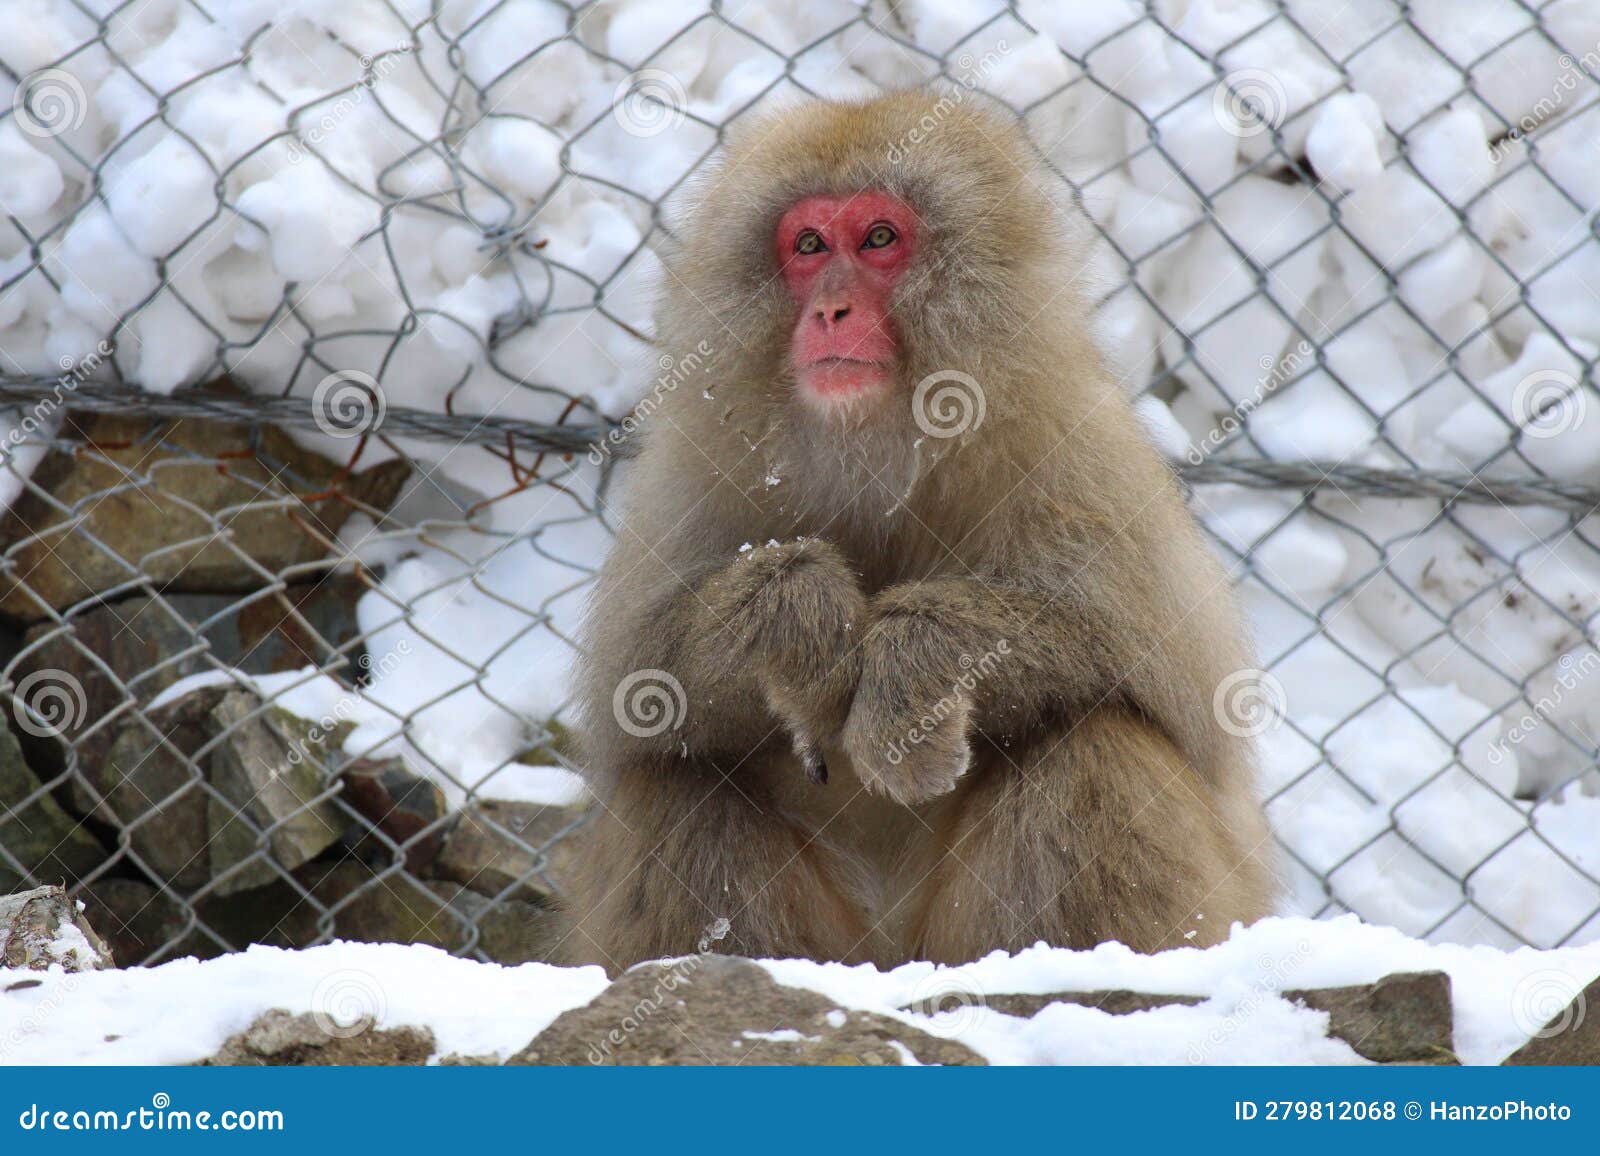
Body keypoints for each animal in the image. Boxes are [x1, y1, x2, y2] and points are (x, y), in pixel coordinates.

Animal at [566, 90, 1277, 972]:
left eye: (879, 238)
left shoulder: (1079, 446)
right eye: (809, 245)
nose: (830, 310)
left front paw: (915, 658)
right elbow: (632, 690)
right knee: (675, 775)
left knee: (1094, 736)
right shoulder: (696, 466)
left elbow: (1170, 674)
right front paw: (789, 614)